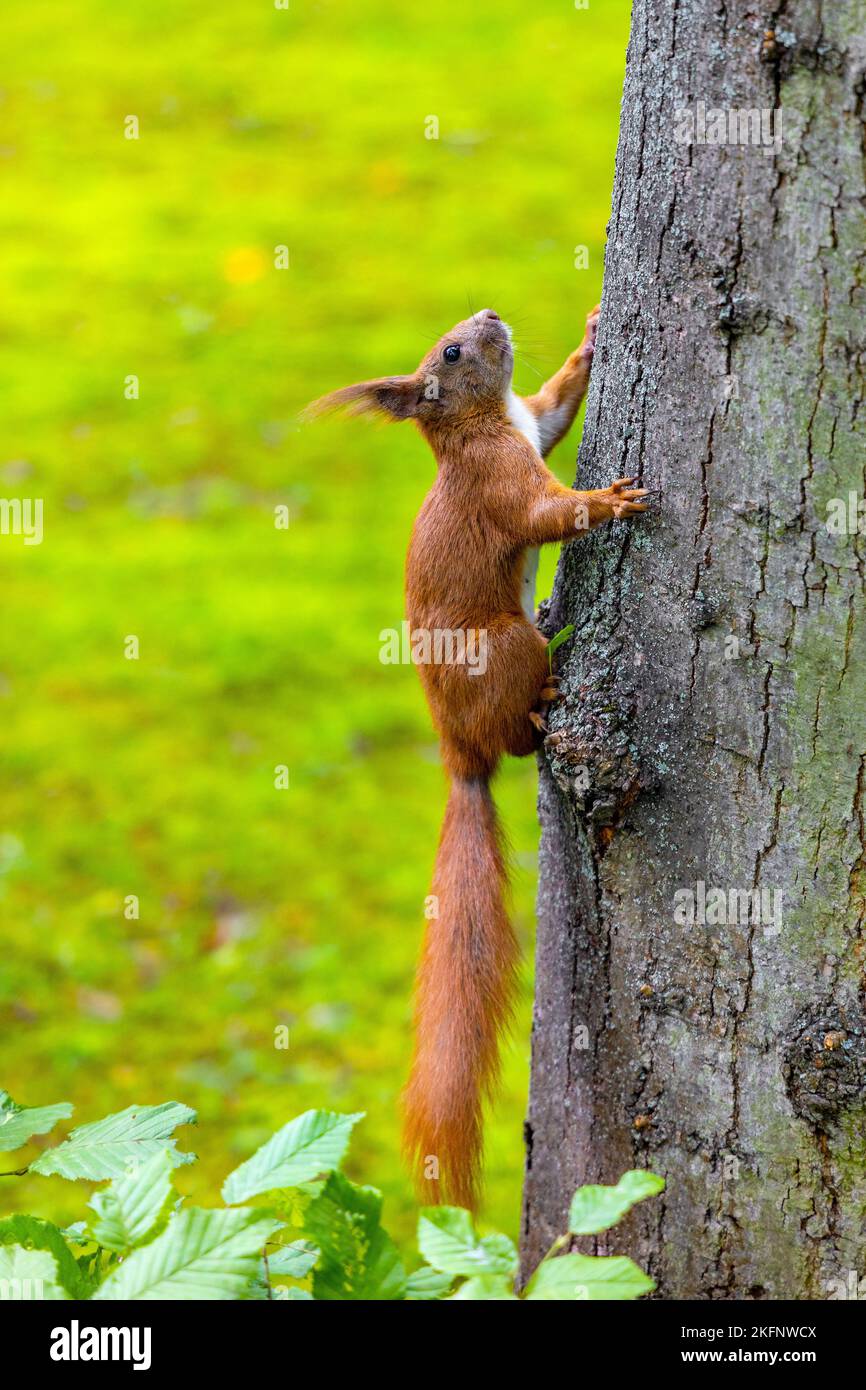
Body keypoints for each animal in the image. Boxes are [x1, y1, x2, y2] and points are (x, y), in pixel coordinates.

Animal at [311, 305, 648, 1211]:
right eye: (453, 352)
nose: (491, 314)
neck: (483, 426)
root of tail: (459, 754)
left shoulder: (533, 423)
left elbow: (558, 407)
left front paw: (593, 336)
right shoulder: (502, 485)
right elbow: (546, 517)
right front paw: (608, 500)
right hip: (505, 646)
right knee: (521, 730)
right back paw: (544, 703)